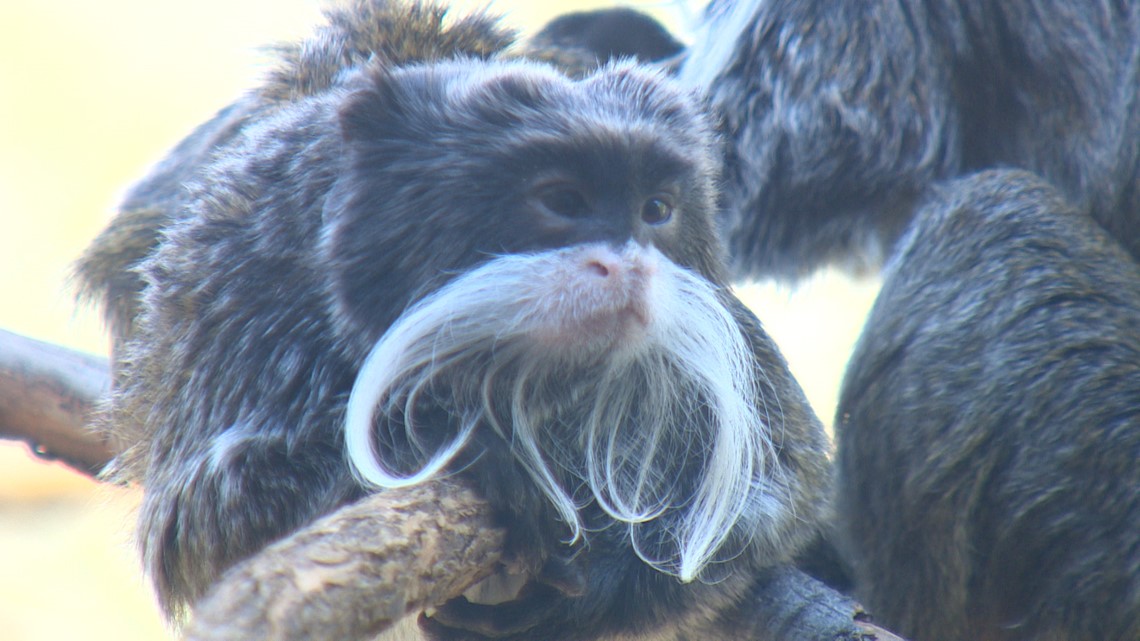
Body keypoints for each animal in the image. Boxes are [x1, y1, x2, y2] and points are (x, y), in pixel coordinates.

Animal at [85, 2, 835, 638]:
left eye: (656, 210)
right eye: (563, 200)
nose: (630, 267)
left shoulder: (727, 333)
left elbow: (779, 488)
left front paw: (588, 596)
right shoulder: (251, 298)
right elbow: (205, 528)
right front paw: (465, 447)